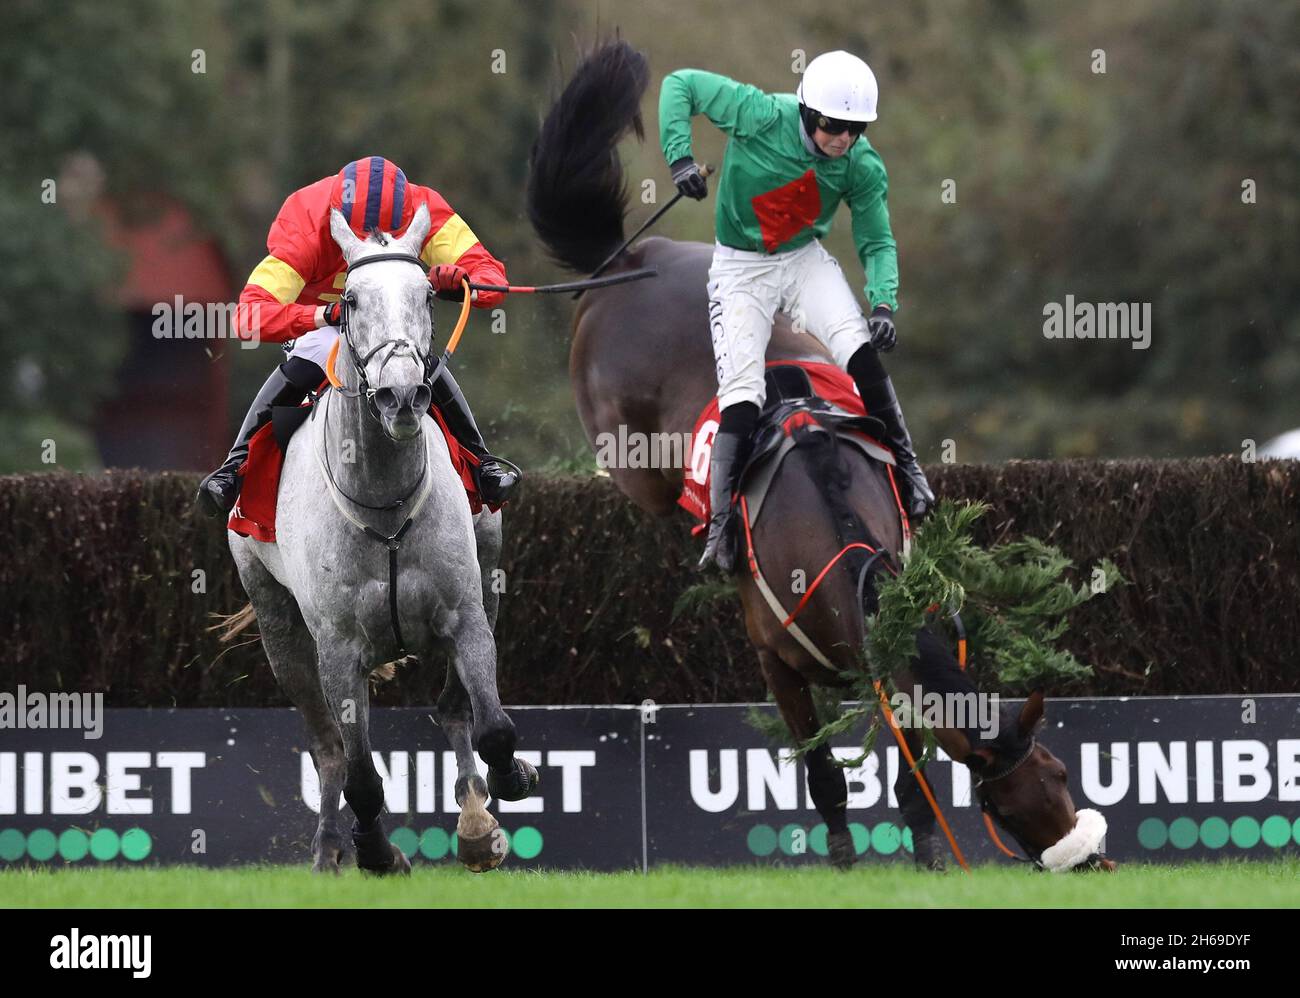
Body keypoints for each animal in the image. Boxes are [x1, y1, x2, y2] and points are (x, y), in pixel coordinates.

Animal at [222, 203, 537, 875]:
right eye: (351, 299)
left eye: (427, 294)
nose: (402, 394)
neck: (384, 506)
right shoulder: (339, 648)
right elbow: (361, 772)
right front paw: (374, 849)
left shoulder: (466, 612)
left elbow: (492, 726)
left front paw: (502, 791)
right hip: (278, 624)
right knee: (328, 748)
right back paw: (329, 847)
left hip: (488, 569)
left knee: (452, 711)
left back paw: (475, 818)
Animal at [526, 41, 1112, 871]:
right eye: (1018, 798)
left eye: (1061, 771)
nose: (1088, 857)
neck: (834, 539)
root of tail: (629, 254)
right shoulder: (776, 662)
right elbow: (823, 770)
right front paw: (841, 853)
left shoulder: (889, 655)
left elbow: (911, 772)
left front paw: (927, 852)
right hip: (647, 432)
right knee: (686, 446)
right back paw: (702, 526)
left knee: (858, 352)